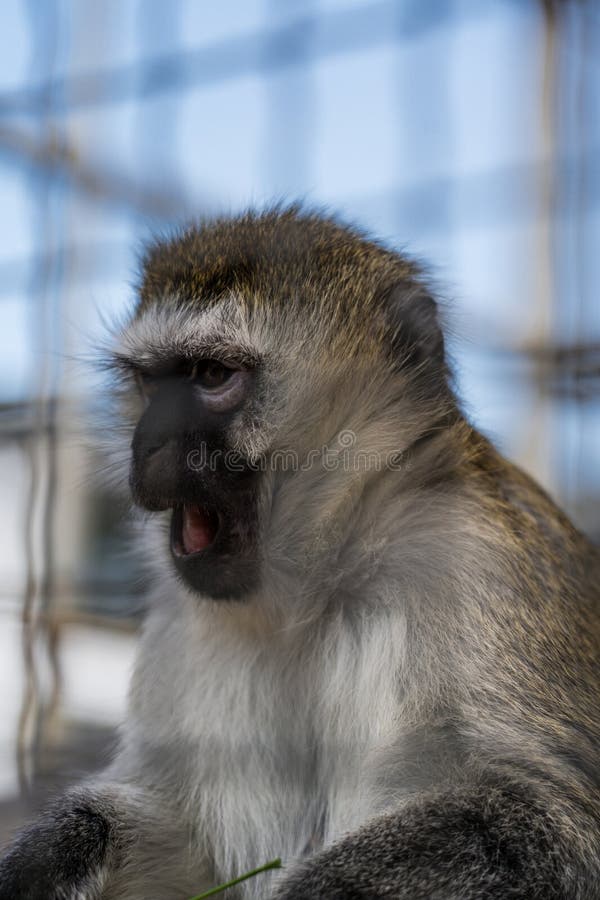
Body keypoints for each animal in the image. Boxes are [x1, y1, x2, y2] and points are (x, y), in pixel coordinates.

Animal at [0, 205, 599, 900]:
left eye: (212, 376)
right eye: (152, 381)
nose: (147, 443)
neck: (318, 584)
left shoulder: (475, 556)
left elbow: (556, 820)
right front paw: (48, 856)